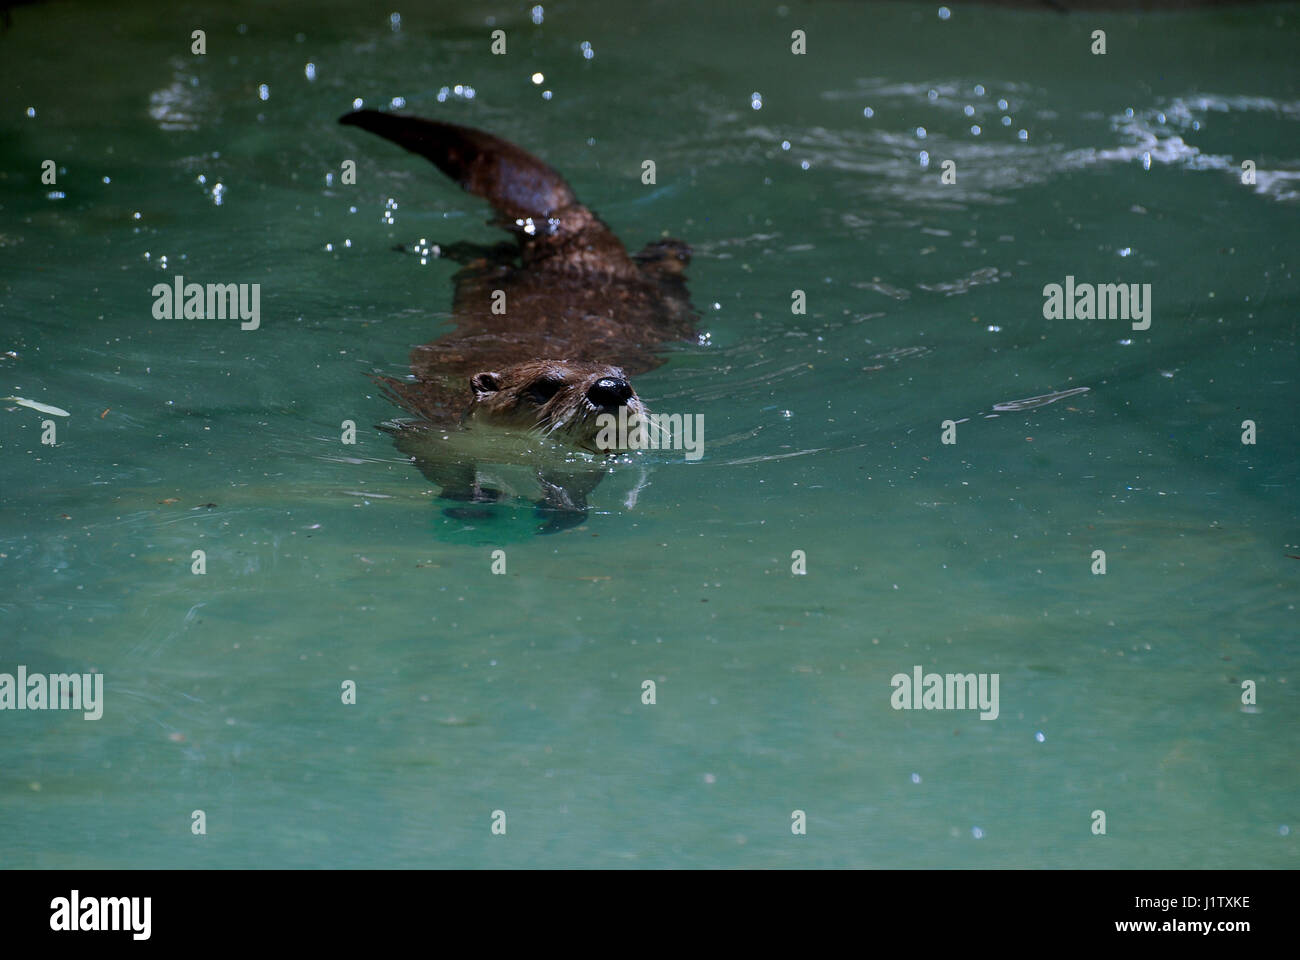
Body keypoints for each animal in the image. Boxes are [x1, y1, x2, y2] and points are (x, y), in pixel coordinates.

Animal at [339, 110, 696, 531]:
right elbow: (437, 462)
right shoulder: (430, 434)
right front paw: (471, 501)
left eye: (624, 377)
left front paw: (560, 508)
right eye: (545, 387)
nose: (612, 388)